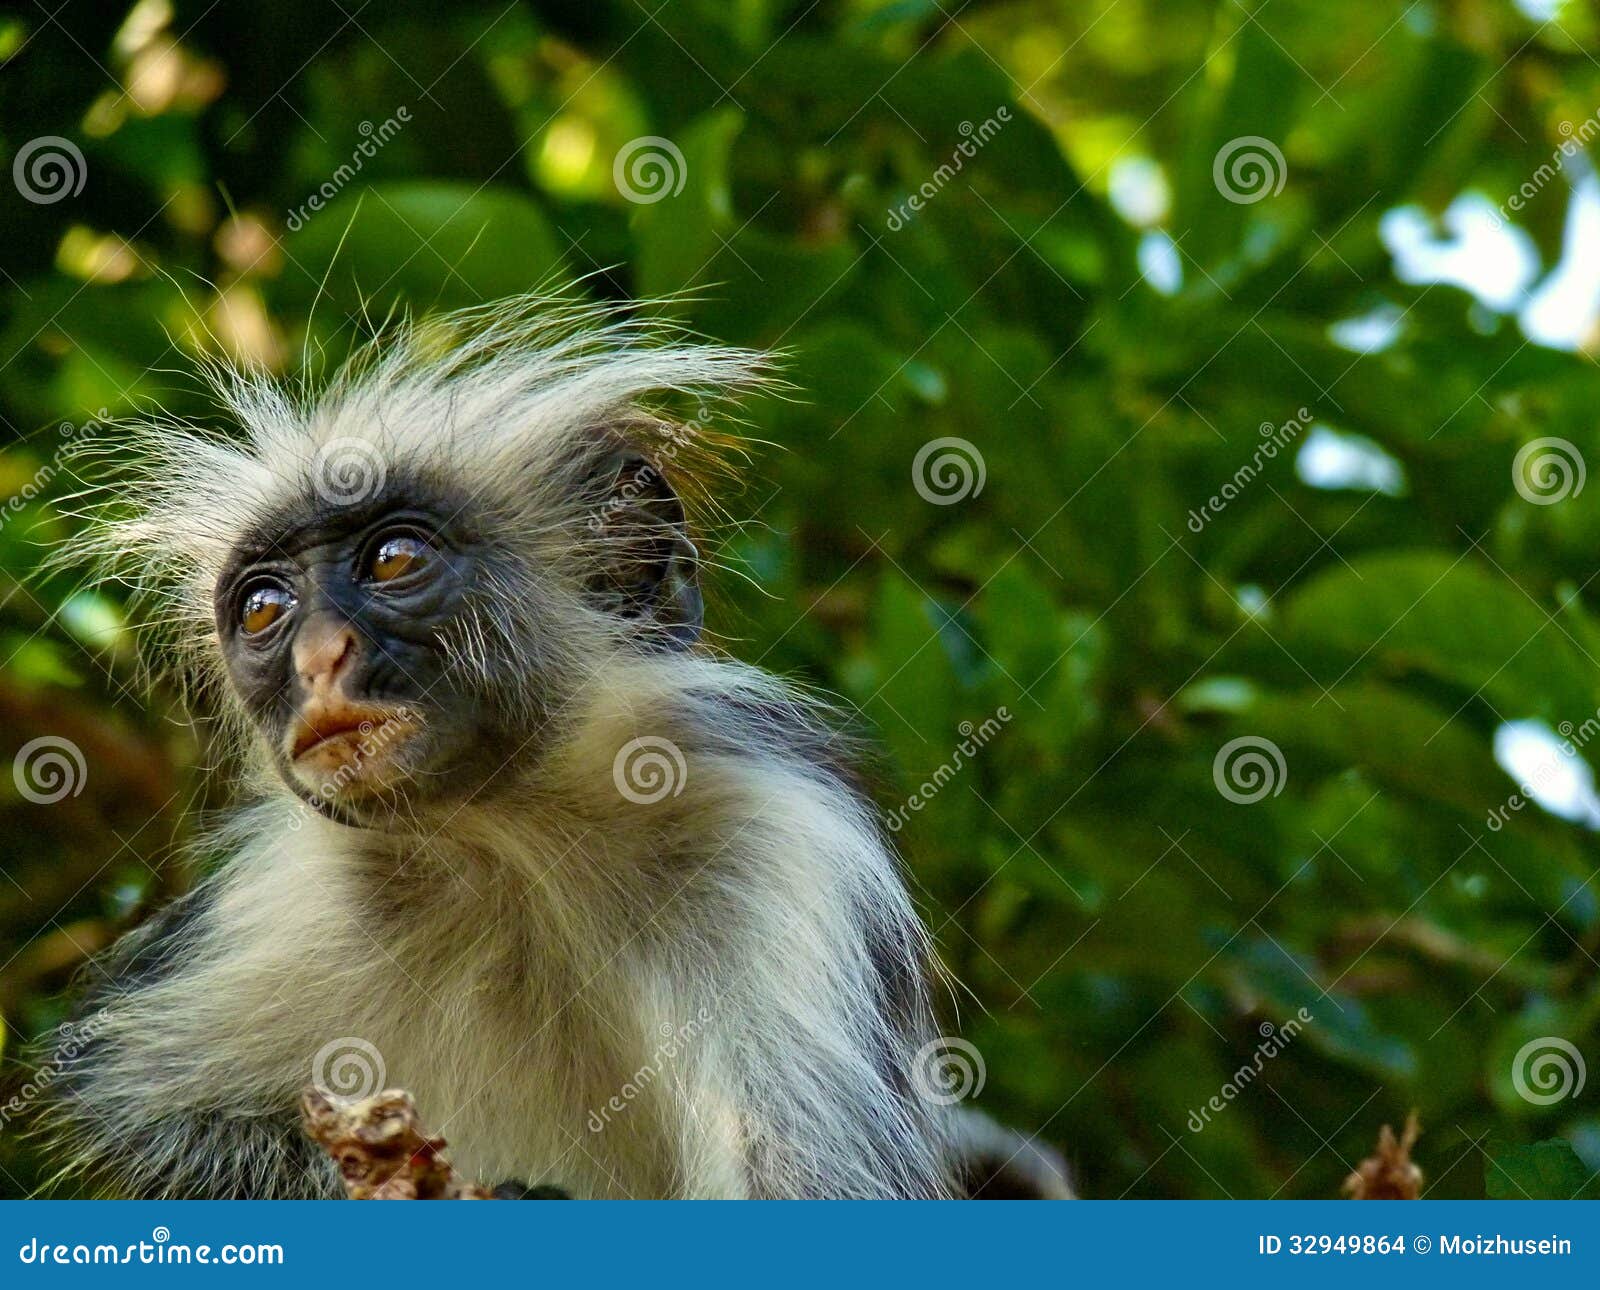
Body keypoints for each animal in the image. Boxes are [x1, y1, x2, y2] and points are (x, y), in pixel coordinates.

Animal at [40, 297, 1070, 1200]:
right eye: (262, 609)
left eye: (394, 559)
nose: (318, 656)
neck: (509, 840)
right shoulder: (292, 893)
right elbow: (127, 1105)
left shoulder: (773, 839)